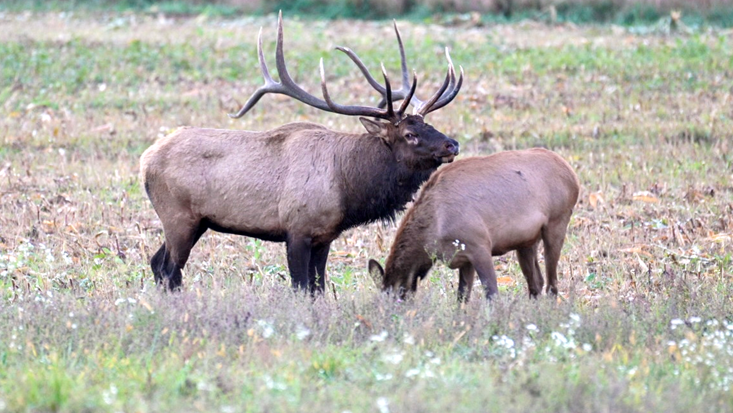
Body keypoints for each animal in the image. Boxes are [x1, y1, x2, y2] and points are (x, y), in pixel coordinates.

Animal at [140, 13, 464, 293]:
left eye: (429, 124)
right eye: (409, 135)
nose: (452, 144)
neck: (348, 188)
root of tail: (145, 160)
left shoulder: (324, 236)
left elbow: (318, 288)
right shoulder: (296, 229)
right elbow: (301, 286)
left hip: (197, 222)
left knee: (157, 264)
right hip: (177, 215)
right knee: (169, 269)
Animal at [368, 148, 580, 301]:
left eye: (395, 297)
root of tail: (571, 173)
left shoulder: (479, 246)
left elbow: (492, 295)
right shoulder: (464, 258)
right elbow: (462, 298)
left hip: (557, 223)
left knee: (552, 284)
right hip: (526, 241)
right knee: (536, 282)